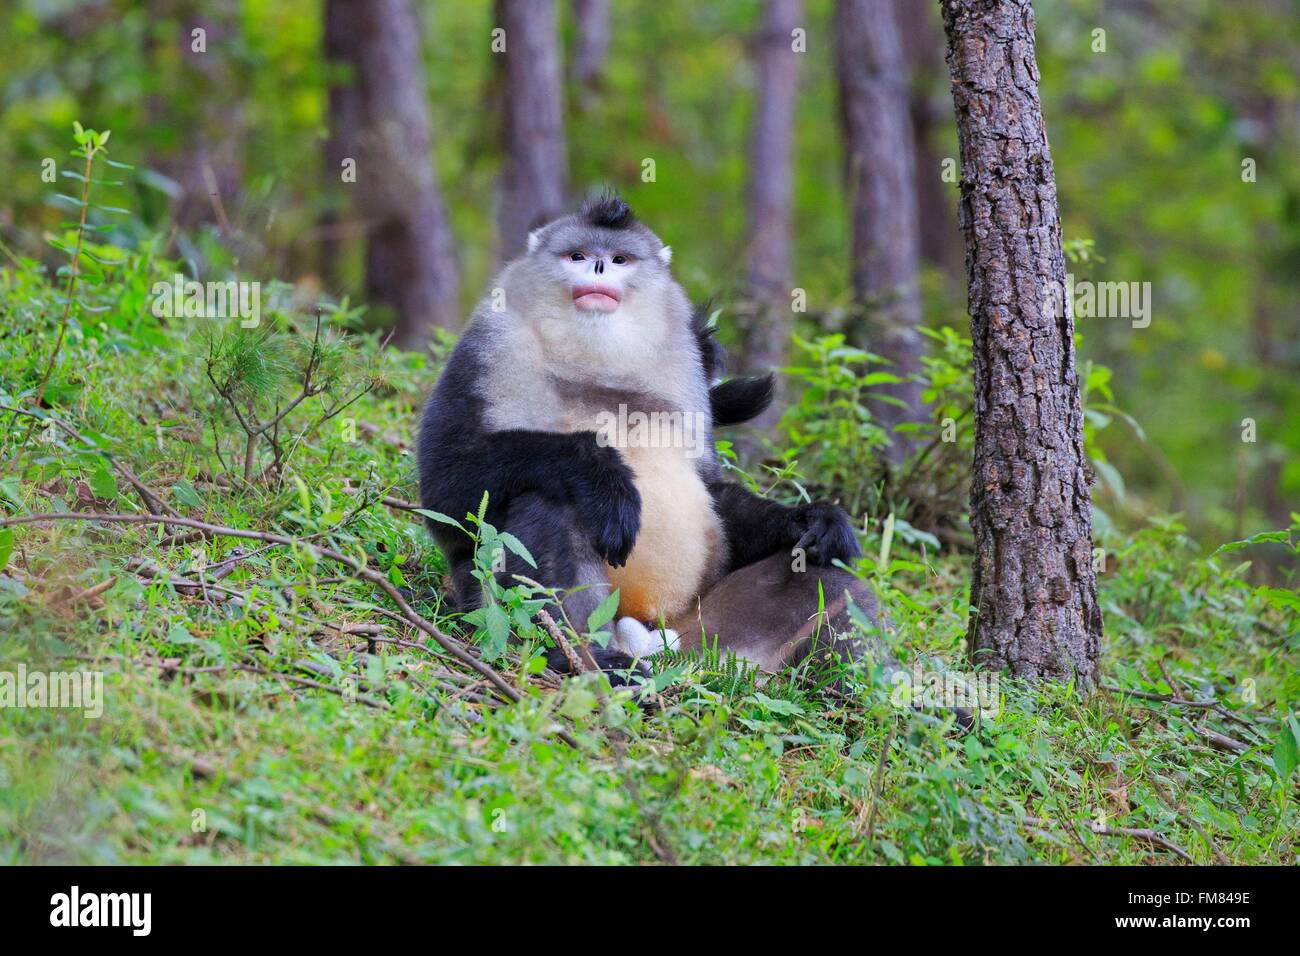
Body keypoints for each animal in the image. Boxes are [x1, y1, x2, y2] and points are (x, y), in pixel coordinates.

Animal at [417, 195, 886, 684]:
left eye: (621, 259)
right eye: (577, 255)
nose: (600, 266)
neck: (595, 366)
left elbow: (715, 488)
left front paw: (815, 518)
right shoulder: (485, 348)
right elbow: (446, 487)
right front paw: (603, 474)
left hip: (707, 631)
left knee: (830, 574)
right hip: (500, 606)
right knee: (548, 499)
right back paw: (583, 658)